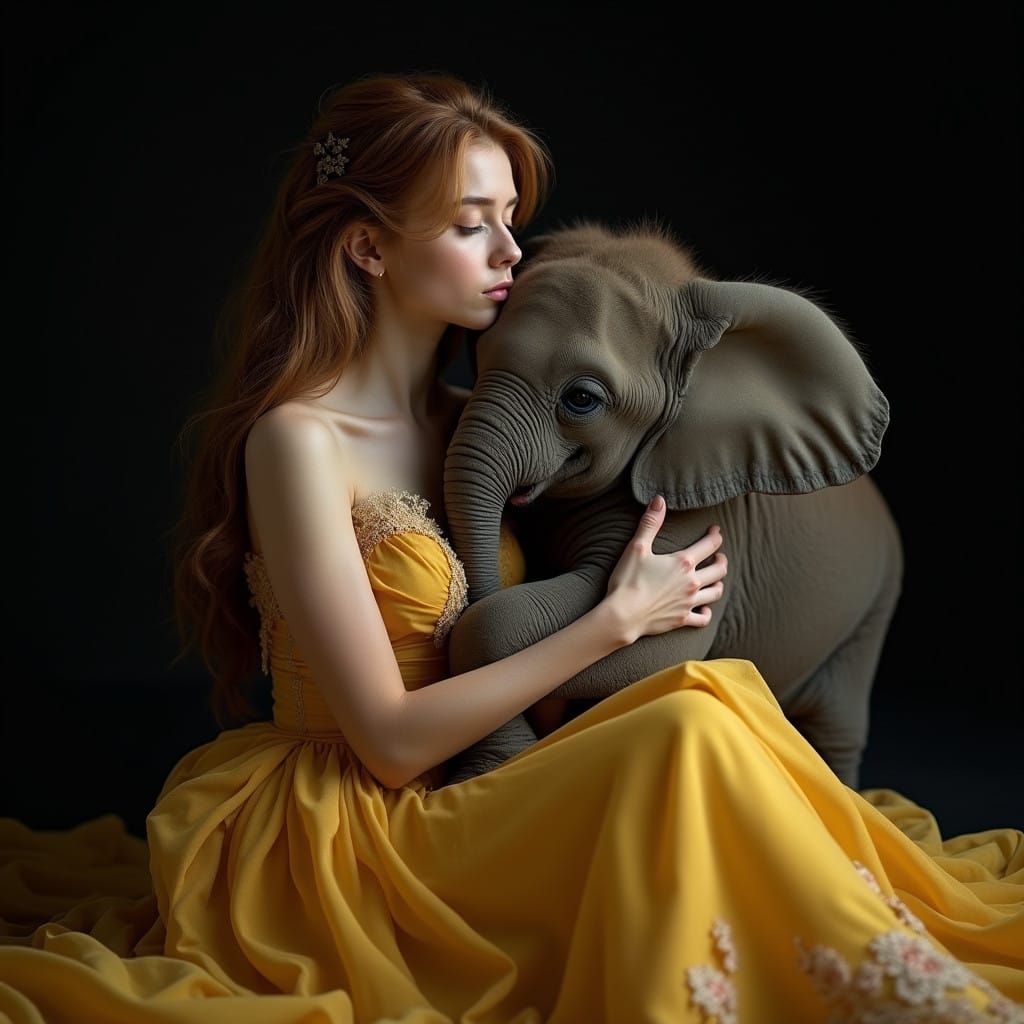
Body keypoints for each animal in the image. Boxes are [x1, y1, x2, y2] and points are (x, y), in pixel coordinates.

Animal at [439, 219, 904, 791]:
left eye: (581, 400)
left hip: (874, 604)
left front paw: (490, 770)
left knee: (837, 724)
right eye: (479, 353)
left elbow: (666, 648)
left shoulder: (705, 513)